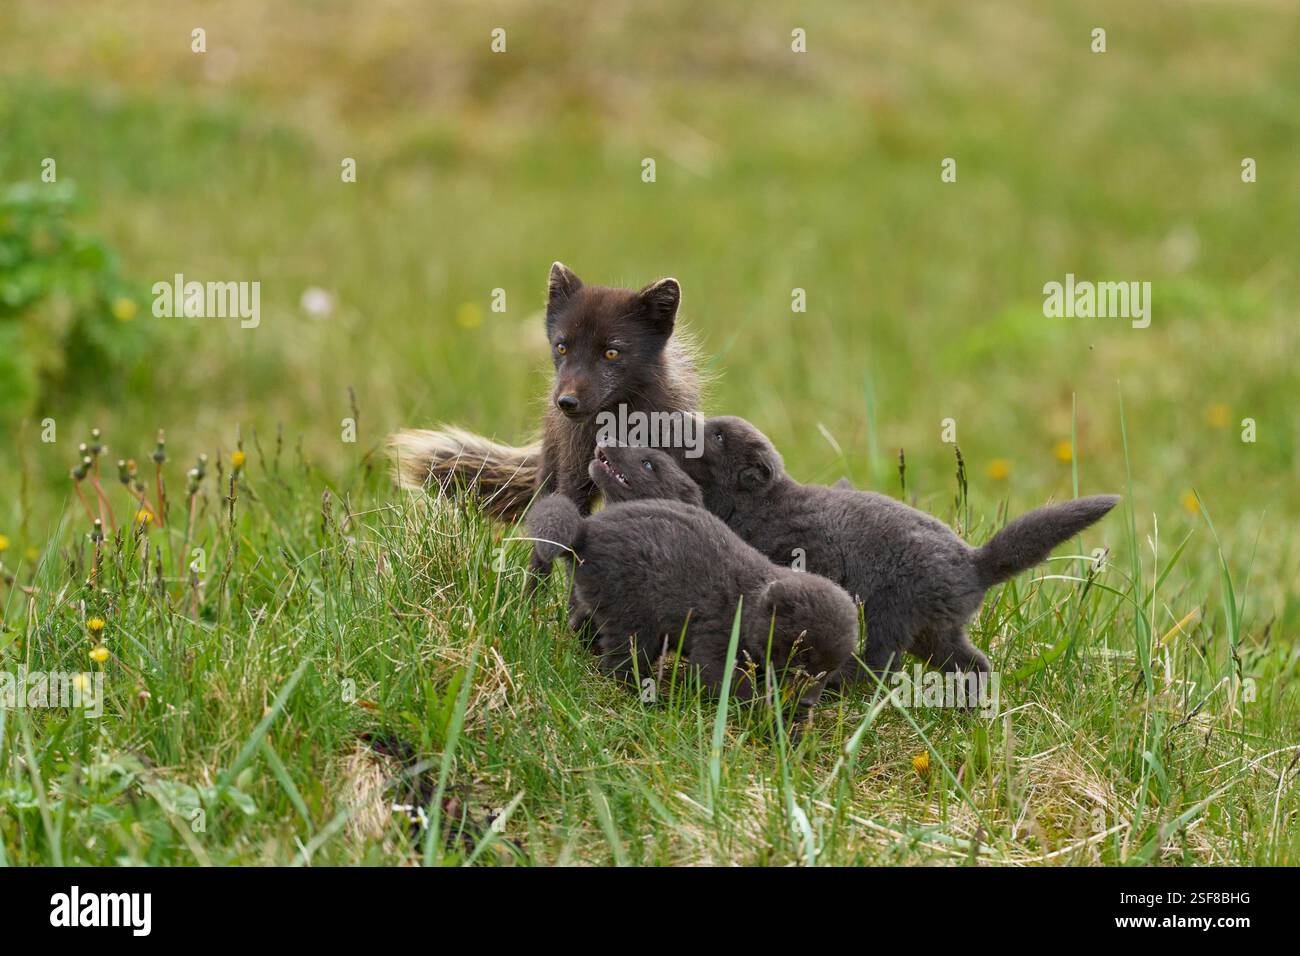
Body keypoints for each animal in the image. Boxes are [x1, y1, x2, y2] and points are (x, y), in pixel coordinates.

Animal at [664, 415, 1121, 687]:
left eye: (718, 435)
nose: (685, 421)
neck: (764, 508)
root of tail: (974, 564)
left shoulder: (807, 544)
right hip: (936, 630)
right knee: (974, 662)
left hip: (895, 610)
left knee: (884, 663)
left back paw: (842, 684)